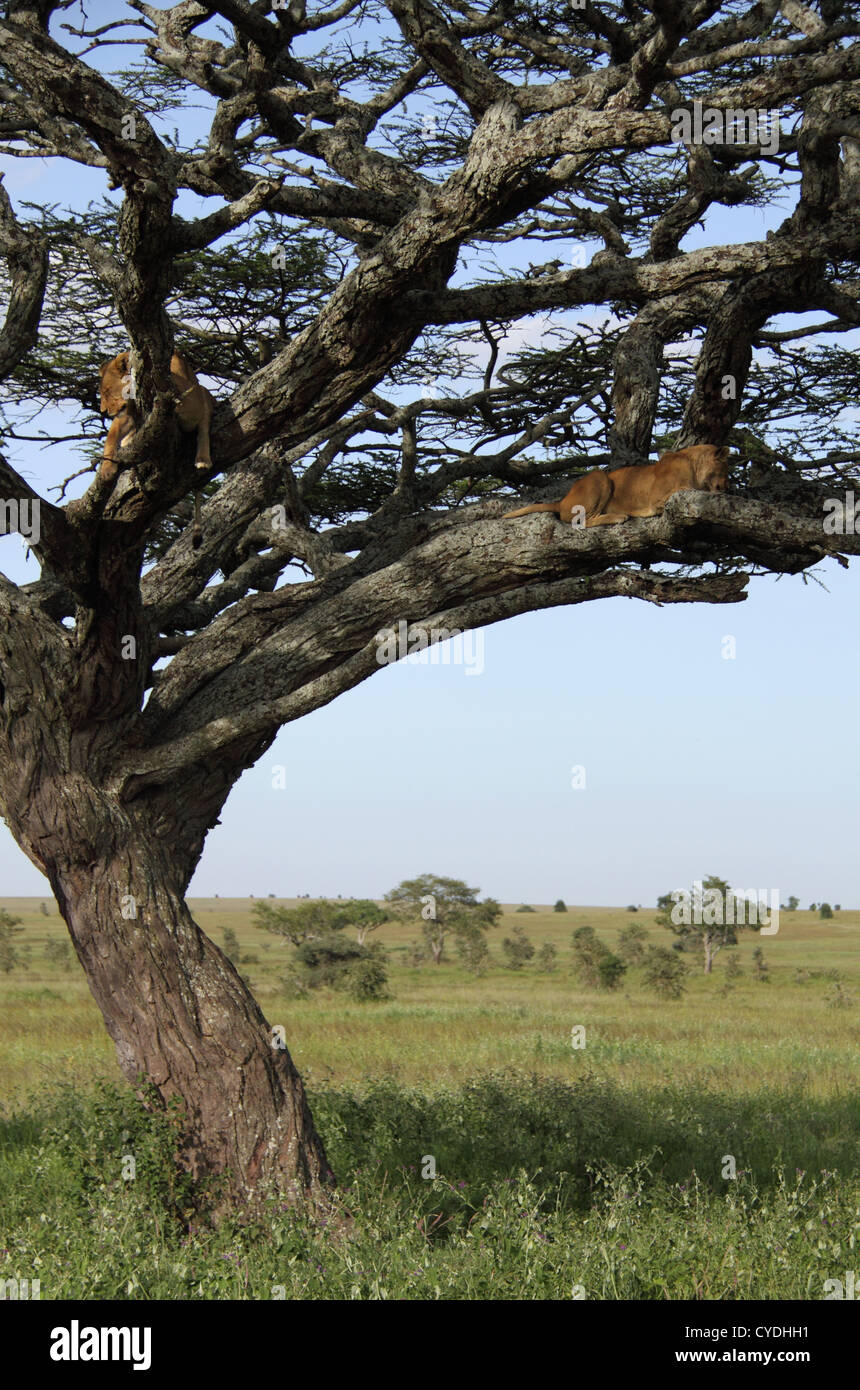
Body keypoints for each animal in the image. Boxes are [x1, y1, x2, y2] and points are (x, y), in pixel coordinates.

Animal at [503, 444, 730, 526]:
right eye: (726, 468)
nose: (725, 486)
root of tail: (562, 501)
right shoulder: (657, 496)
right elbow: (687, 489)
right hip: (600, 477)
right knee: (584, 521)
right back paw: (618, 516)